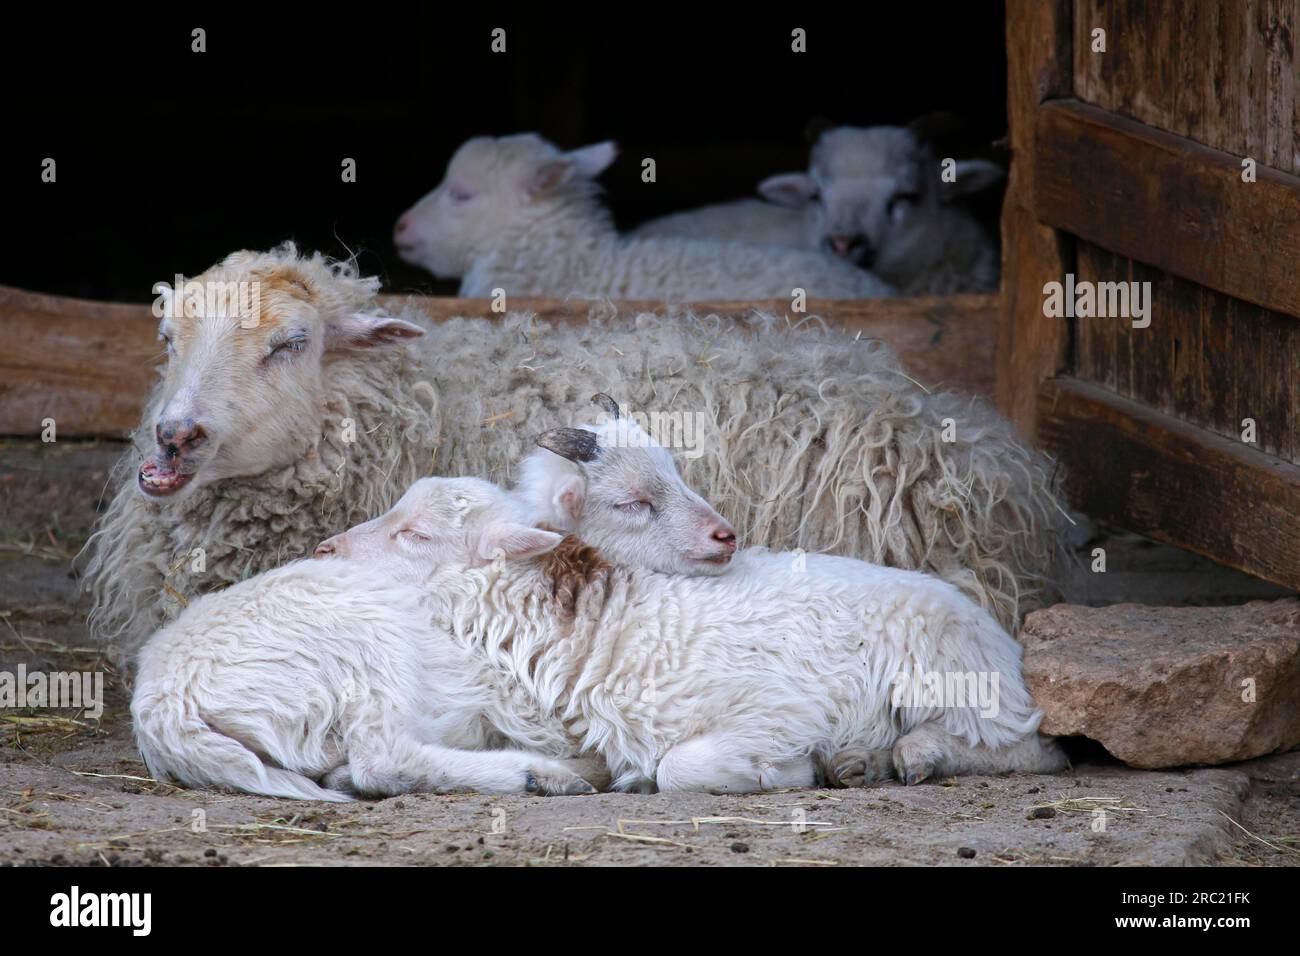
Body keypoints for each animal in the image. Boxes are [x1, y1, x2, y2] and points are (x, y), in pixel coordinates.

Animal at [327, 476, 1068, 792]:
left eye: (415, 535)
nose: (326, 549)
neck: (603, 624)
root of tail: (1002, 639)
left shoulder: (775, 705)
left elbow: (677, 768)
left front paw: (784, 772)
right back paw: (864, 761)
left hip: (951, 675)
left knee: (1031, 750)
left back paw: (917, 754)